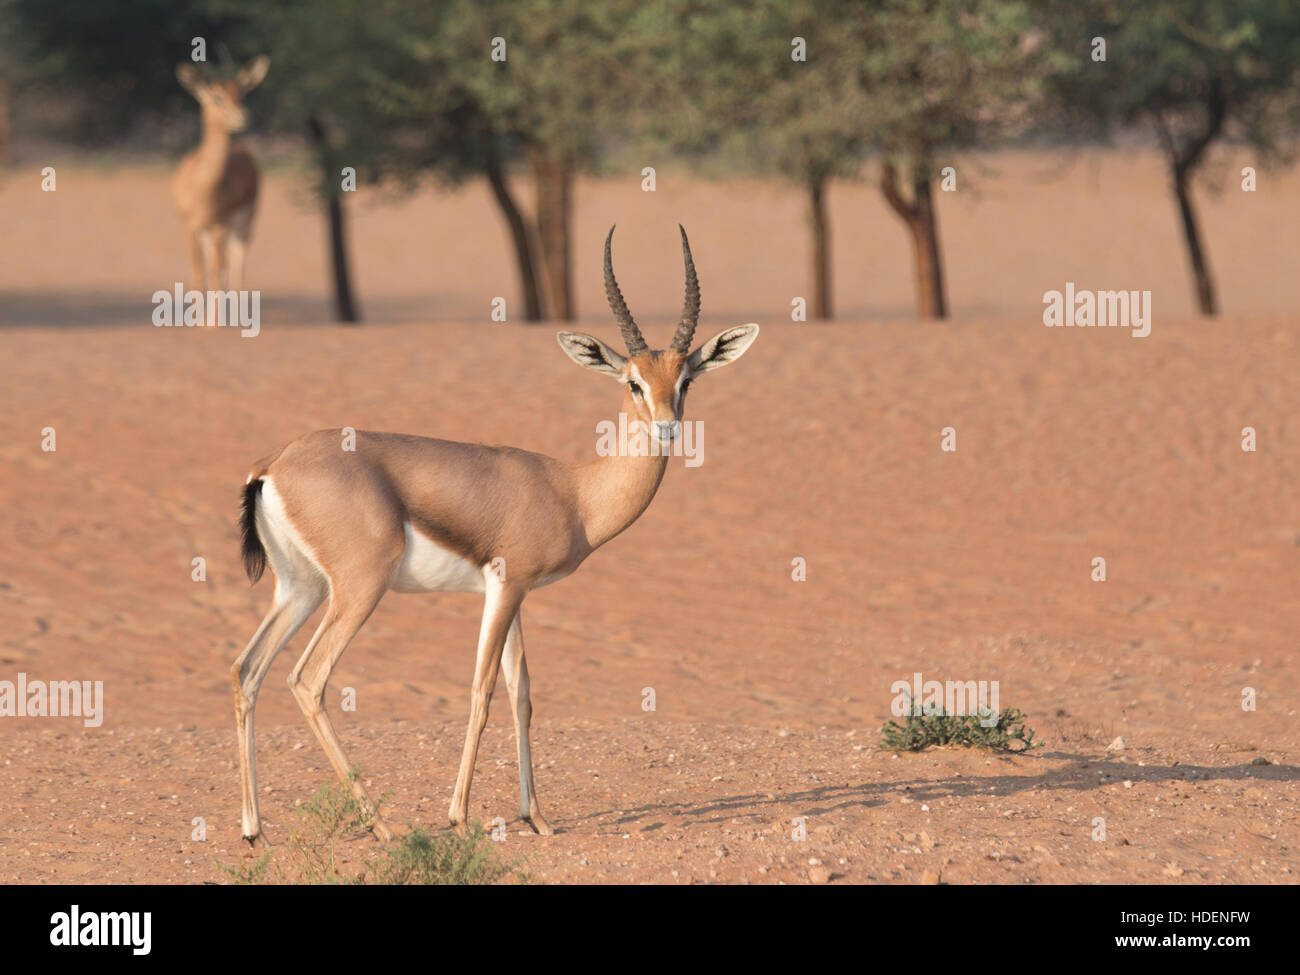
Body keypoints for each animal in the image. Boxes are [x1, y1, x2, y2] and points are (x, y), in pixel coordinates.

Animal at [172, 56, 269, 300]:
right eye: (217, 97)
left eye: (241, 94)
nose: (243, 116)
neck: (203, 189)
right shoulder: (191, 228)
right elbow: (199, 278)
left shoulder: (219, 226)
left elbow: (217, 278)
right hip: (211, 236)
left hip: (243, 228)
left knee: (235, 273)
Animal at [231, 226, 758, 842]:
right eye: (633, 382)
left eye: (685, 380)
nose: (669, 429)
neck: (573, 491)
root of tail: (272, 465)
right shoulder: (504, 589)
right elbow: (482, 691)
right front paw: (459, 816)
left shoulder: (515, 595)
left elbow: (521, 693)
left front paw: (538, 818)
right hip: (358, 588)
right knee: (308, 679)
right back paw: (383, 829)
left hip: (302, 588)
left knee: (248, 670)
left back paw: (255, 830)